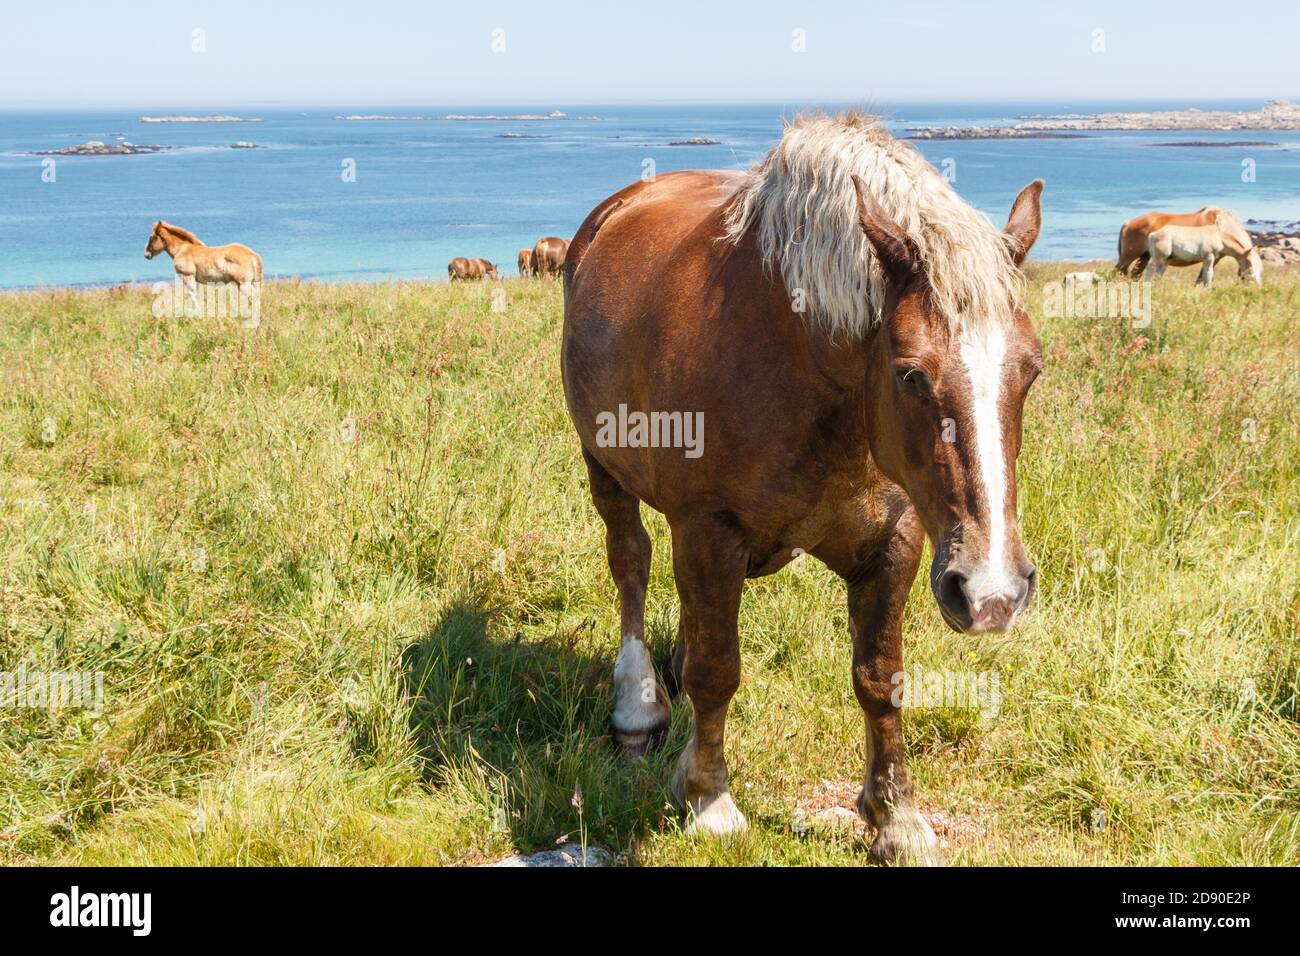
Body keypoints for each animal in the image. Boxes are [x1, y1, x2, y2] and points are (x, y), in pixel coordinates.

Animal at [562, 113, 1044, 865]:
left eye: (1032, 370)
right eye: (910, 374)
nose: (993, 594)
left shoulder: (896, 543)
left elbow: (879, 679)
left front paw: (895, 818)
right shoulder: (709, 530)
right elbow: (718, 671)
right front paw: (709, 799)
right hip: (603, 465)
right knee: (631, 562)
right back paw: (638, 704)